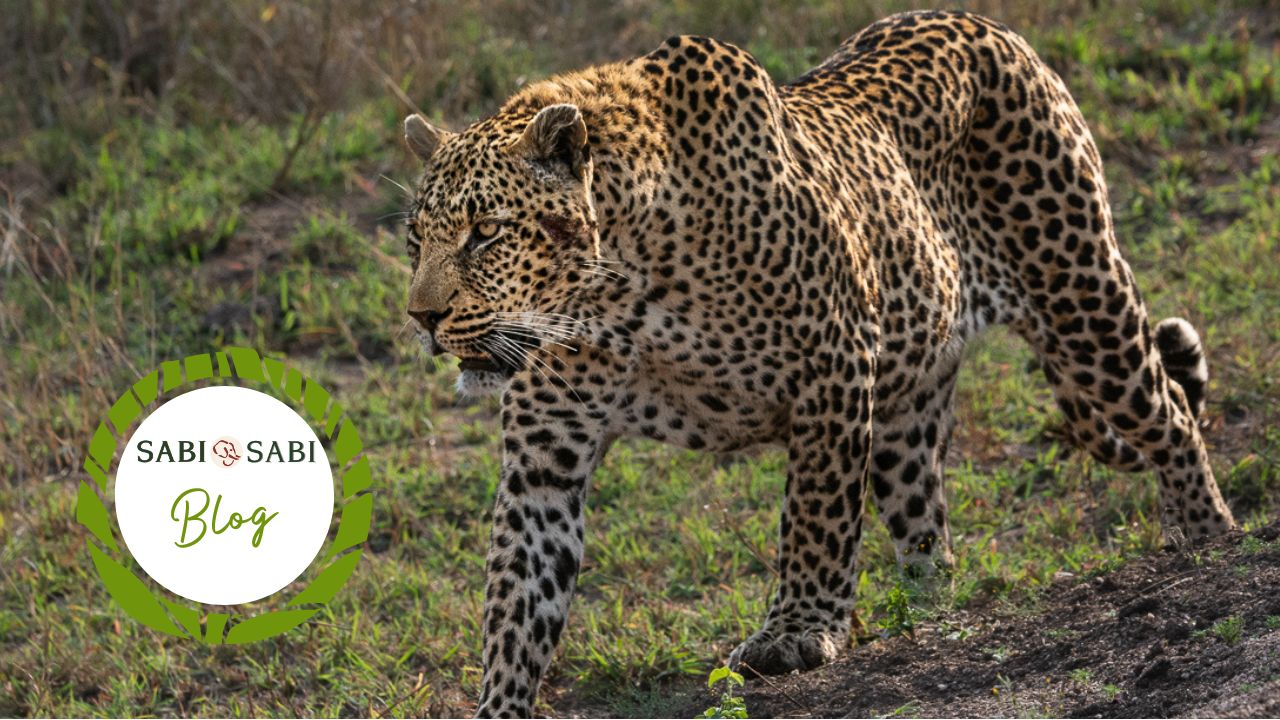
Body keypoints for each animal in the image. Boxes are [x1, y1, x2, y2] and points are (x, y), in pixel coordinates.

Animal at [398, 10, 1235, 717]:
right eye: (416, 238)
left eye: (485, 232)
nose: (423, 318)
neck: (614, 295)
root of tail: (985, 24)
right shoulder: (545, 457)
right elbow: (518, 595)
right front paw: (501, 704)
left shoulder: (831, 365)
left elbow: (816, 513)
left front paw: (797, 631)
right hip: (908, 407)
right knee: (927, 524)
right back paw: (927, 617)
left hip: (1081, 301)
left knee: (1168, 411)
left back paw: (1206, 534)